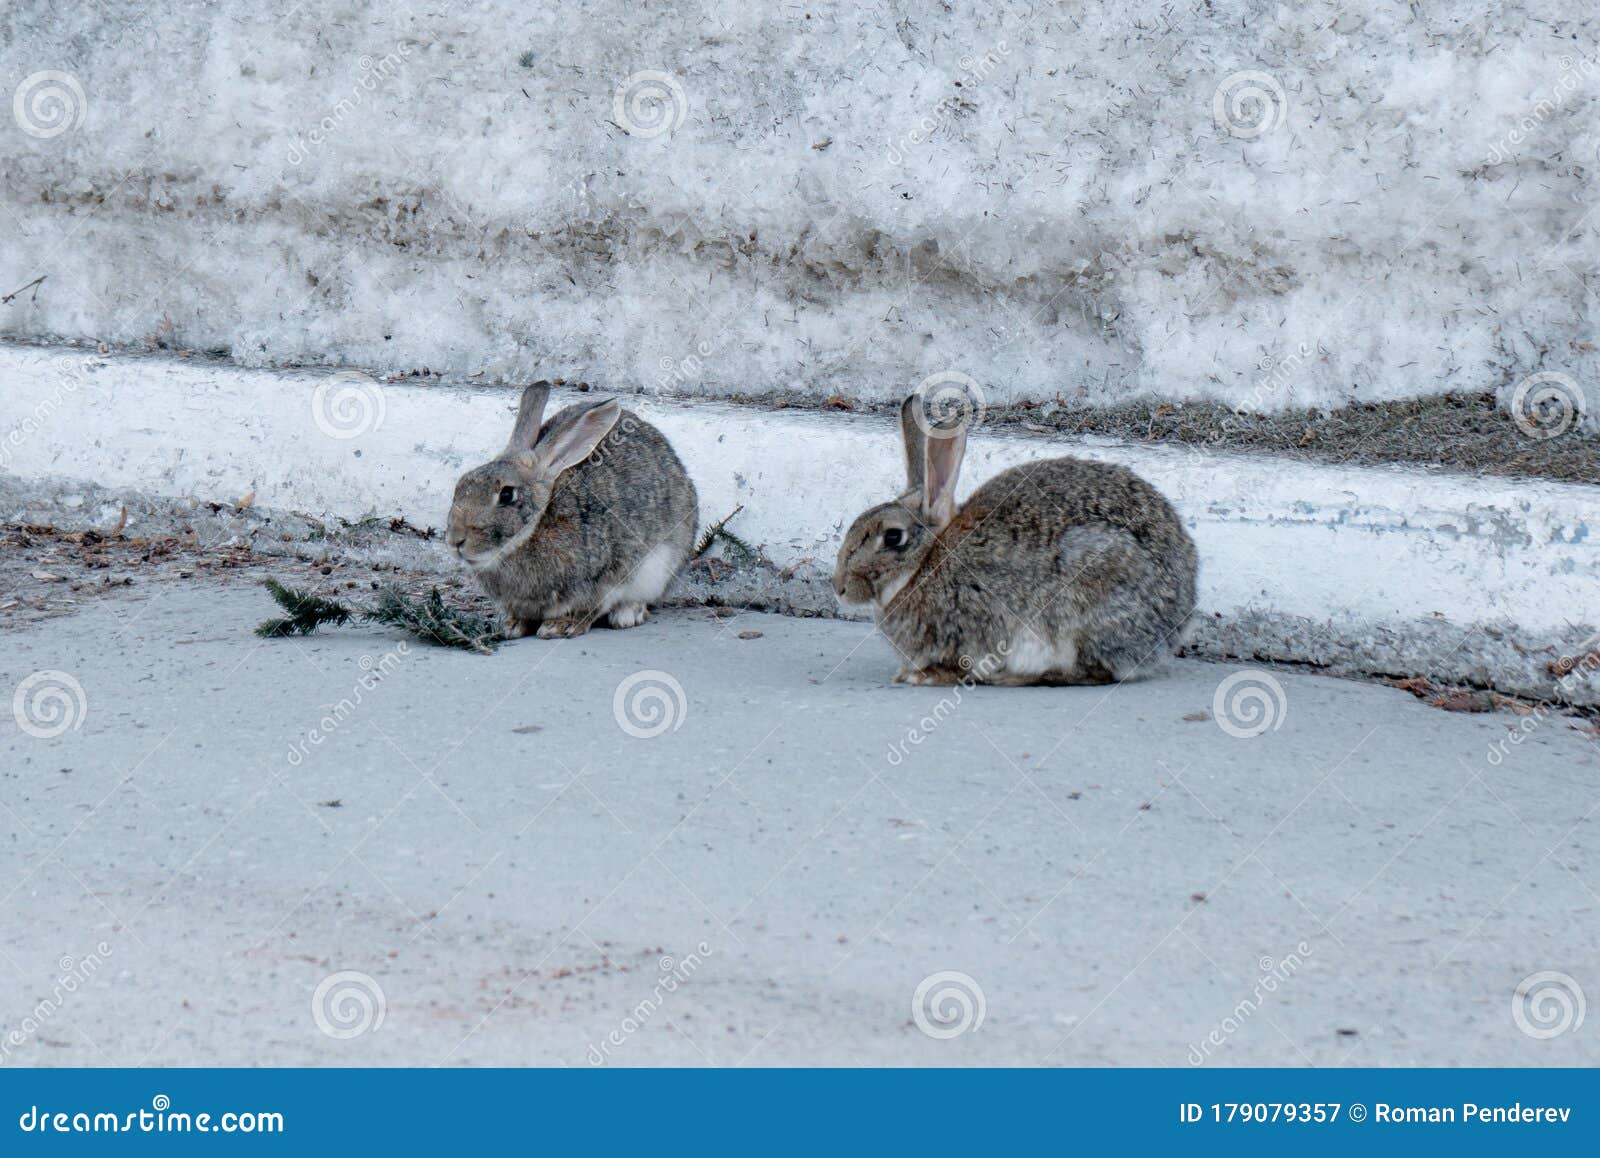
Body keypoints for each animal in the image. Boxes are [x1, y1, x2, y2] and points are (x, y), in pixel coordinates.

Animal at [447, 382, 698, 639]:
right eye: (460, 484)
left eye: (507, 494)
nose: (455, 540)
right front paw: (512, 626)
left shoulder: (604, 576)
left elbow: (589, 607)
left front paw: (559, 626)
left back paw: (627, 614)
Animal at [832, 395, 1197, 685]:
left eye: (893, 536)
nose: (839, 588)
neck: (926, 562)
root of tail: (1178, 614)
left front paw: (921, 676)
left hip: (1088, 595)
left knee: (1093, 671)